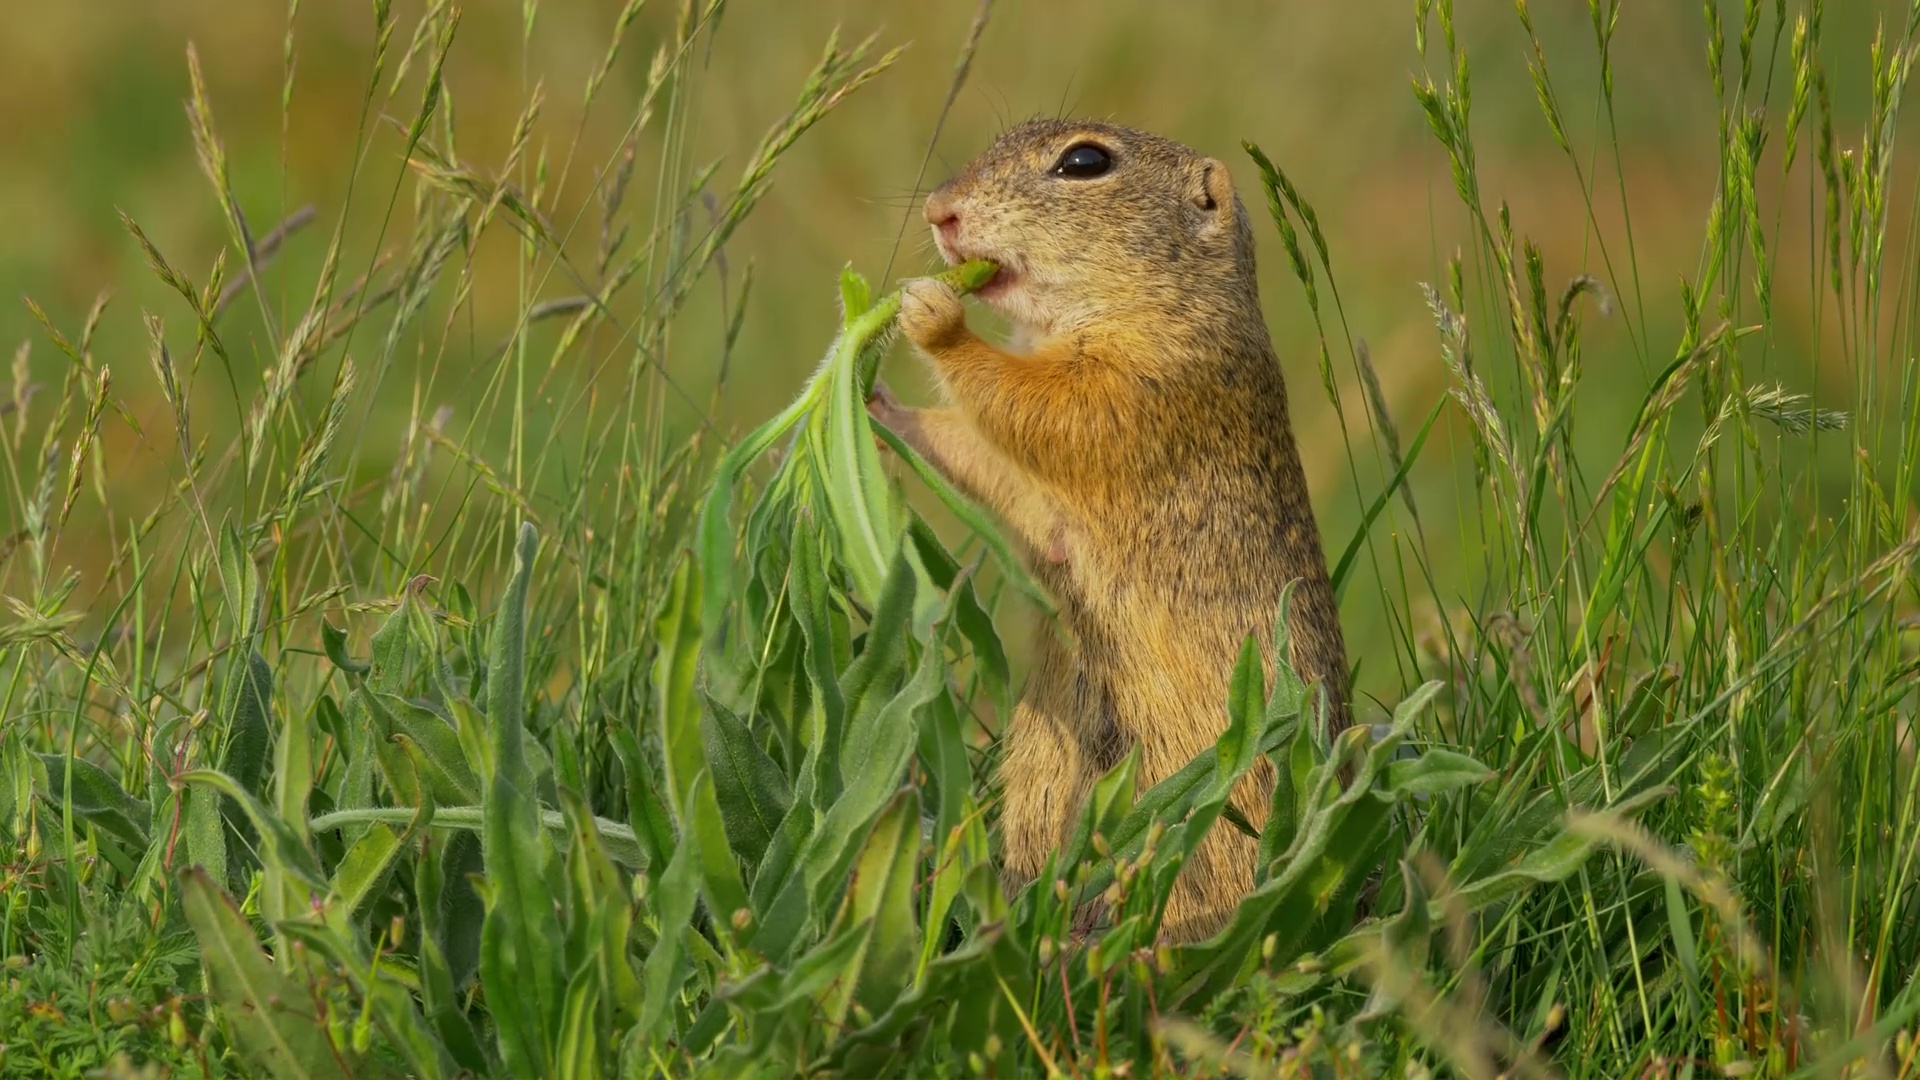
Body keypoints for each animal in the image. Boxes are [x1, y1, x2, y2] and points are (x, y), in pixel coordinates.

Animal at [868, 118, 1350, 943]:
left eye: (1084, 162)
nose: (938, 211)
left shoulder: (1144, 386)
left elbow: (1039, 408)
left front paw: (932, 316)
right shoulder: (1034, 479)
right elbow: (982, 453)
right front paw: (874, 402)